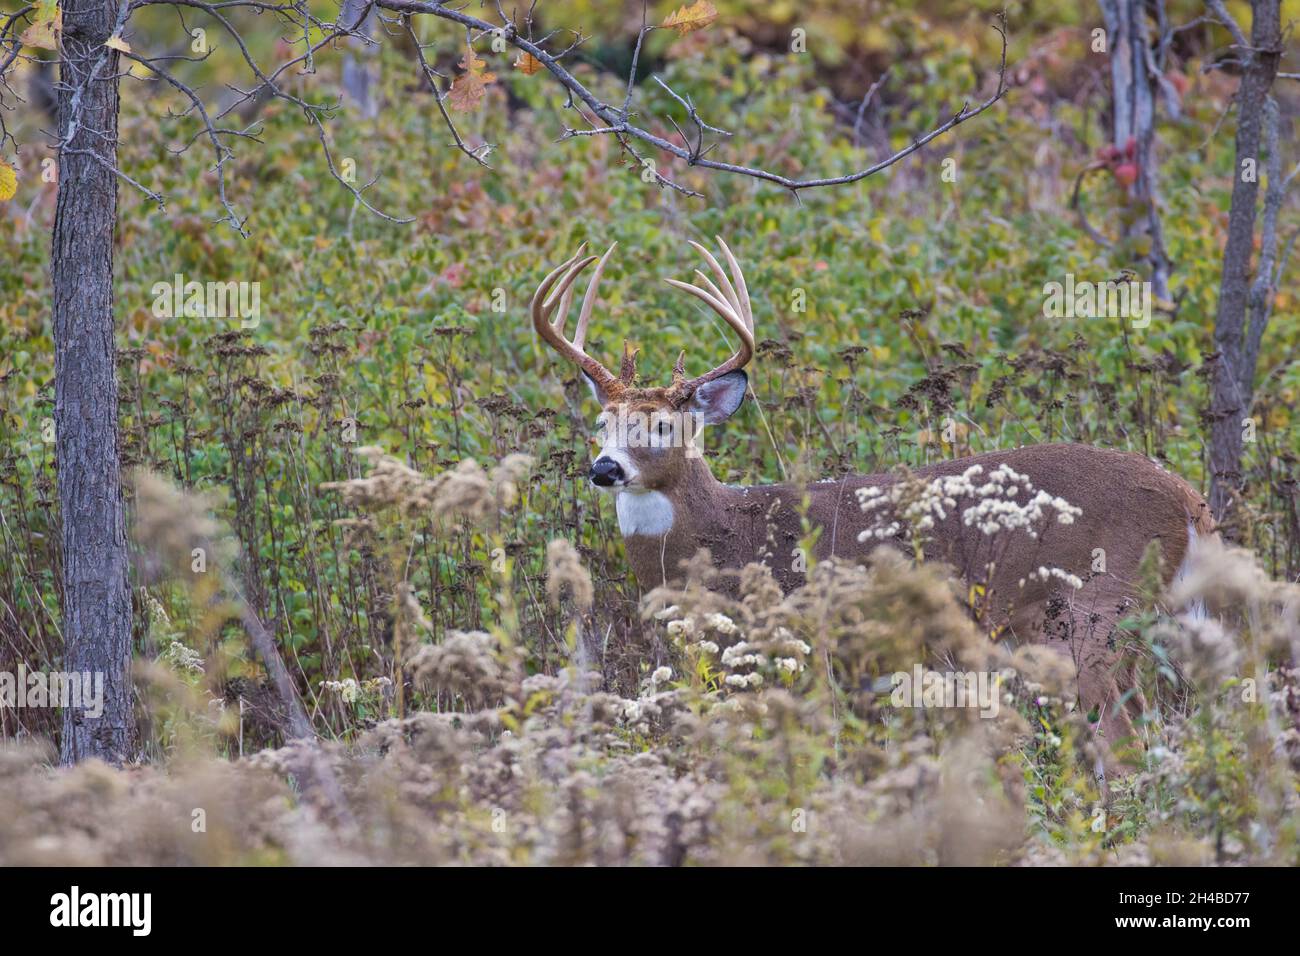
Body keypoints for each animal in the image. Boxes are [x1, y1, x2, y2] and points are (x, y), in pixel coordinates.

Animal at [531, 237, 1215, 775]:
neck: (729, 538)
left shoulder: (816, 645)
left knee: (1122, 744)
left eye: (663, 427)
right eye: (602, 423)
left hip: (1093, 614)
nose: (605, 469)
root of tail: (1191, 500)